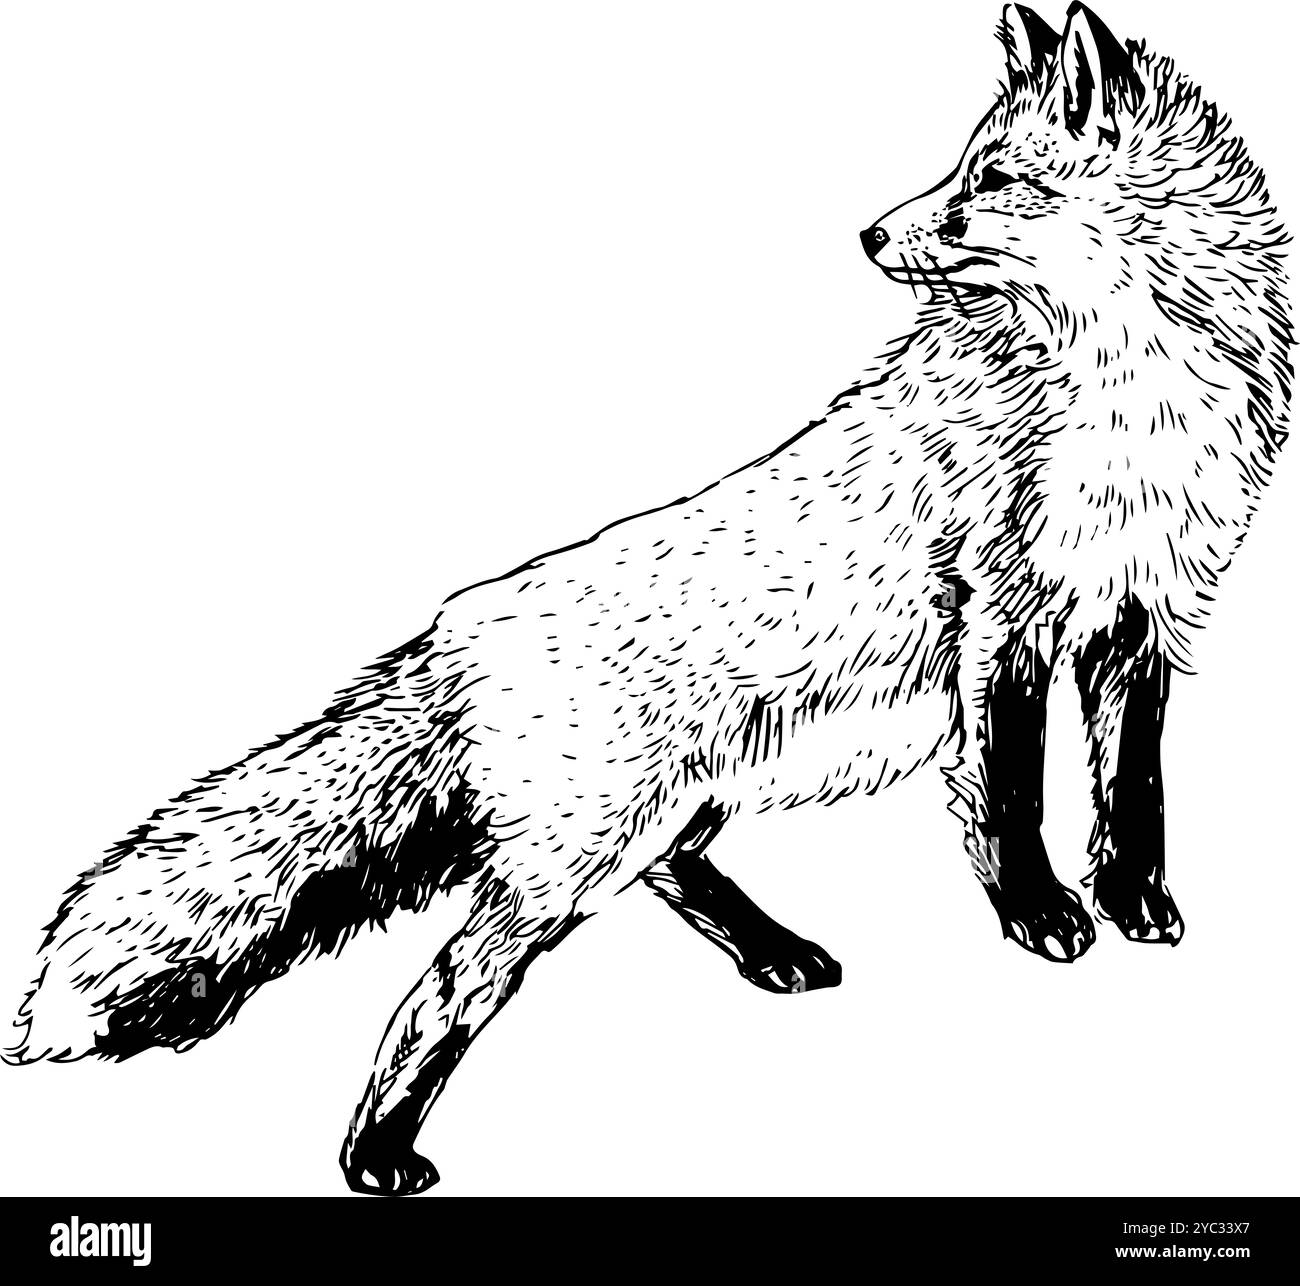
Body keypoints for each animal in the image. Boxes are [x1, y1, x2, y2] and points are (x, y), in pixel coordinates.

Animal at [4, 3, 1292, 1196]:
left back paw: (773, 951)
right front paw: (1040, 915)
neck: (1132, 407)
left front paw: (1135, 901)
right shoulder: (1002, 615)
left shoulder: (1145, 614)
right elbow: (1014, 799)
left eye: (991, 180)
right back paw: (375, 1154)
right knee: (439, 991)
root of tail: (455, 631)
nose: (868, 231)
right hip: (562, 868)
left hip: (677, 808)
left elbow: (1132, 789)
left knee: (669, 875)